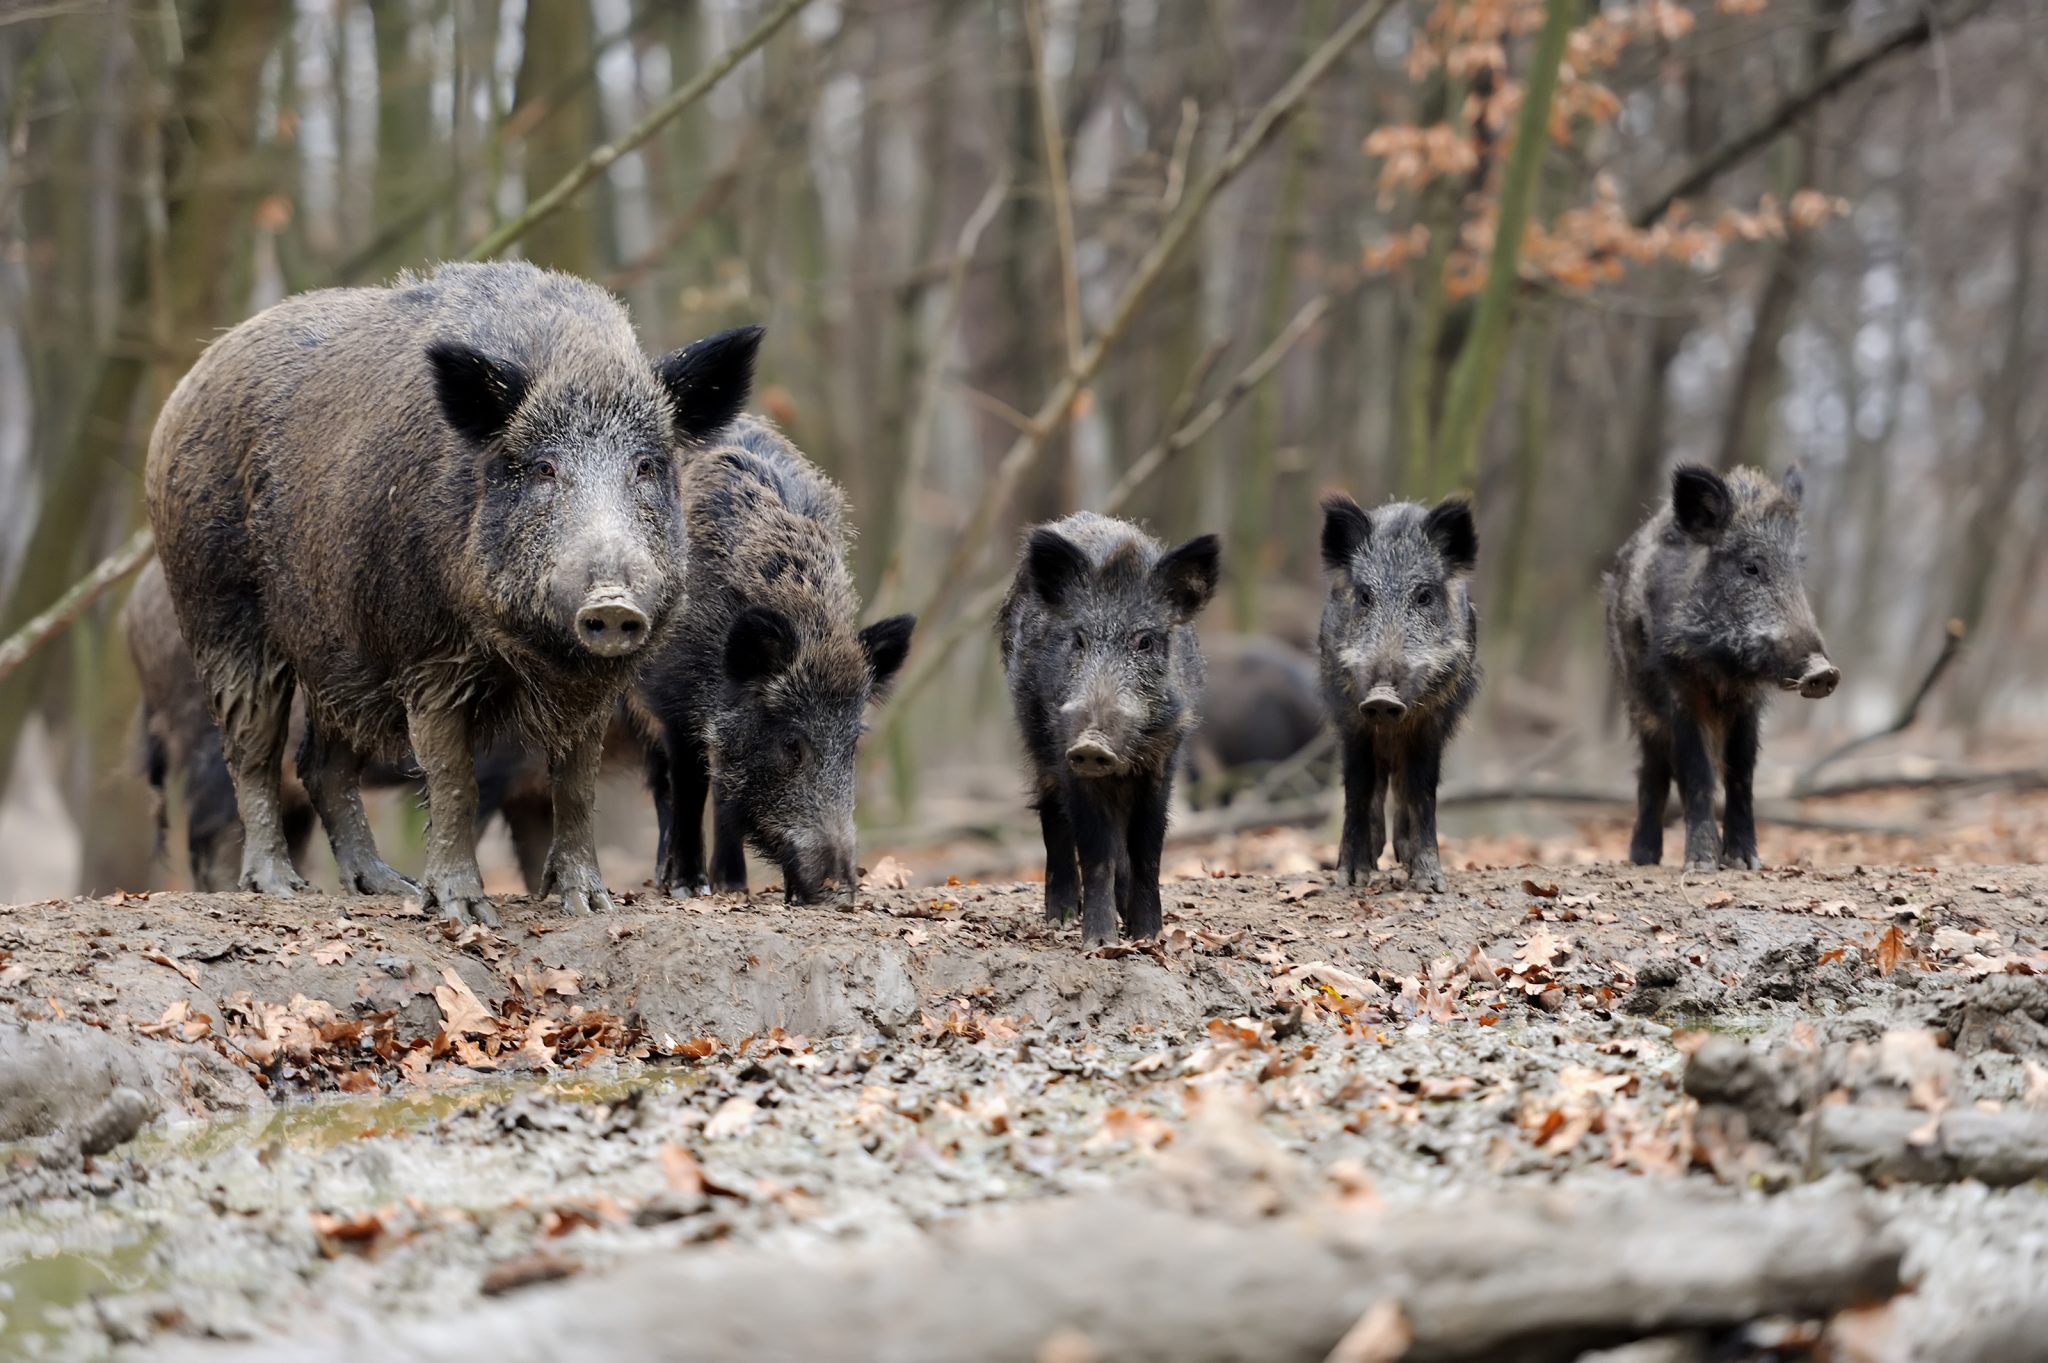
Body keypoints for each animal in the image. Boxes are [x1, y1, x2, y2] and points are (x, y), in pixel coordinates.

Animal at [144, 260, 759, 923]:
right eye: (543, 468)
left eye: (646, 466)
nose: (612, 602)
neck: (533, 653)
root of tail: (190, 382)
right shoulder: (427, 658)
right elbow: (452, 778)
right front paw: (464, 912)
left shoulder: (593, 687)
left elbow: (576, 784)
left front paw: (590, 905)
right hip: (219, 609)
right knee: (252, 747)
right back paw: (281, 886)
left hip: (337, 651)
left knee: (323, 764)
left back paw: (386, 887)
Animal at [633, 416, 914, 904]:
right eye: (791, 744)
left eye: (853, 744)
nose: (841, 888)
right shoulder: (673, 701)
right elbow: (689, 787)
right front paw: (690, 887)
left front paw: (751, 888)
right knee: (664, 782)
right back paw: (672, 880)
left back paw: (732, 883)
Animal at [999, 513, 1220, 945]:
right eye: (1079, 639)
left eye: (1145, 642)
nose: (1092, 743)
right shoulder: (1067, 753)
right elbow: (1096, 848)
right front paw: (1100, 942)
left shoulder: (1165, 756)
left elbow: (1148, 846)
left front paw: (1147, 936)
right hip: (1035, 735)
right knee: (1052, 813)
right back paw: (1061, 918)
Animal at [1318, 494, 1480, 894]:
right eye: (1364, 596)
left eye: (1423, 596)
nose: (1382, 697)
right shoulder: (1351, 716)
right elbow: (1358, 786)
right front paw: (1350, 878)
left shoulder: (1433, 721)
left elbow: (1422, 789)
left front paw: (1430, 883)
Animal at [1605, 464, 1840, 871]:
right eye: (1751, 567)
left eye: (1798, 569)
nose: (1822, 671)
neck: (1723, 668)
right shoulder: (1679, 687)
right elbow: (1696, 770)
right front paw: (1701, 865)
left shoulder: (1748, 702)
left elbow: (1741, 771)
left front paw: (1745, 862)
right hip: (1638, 701)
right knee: (1654, 768)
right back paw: (1644, 858)